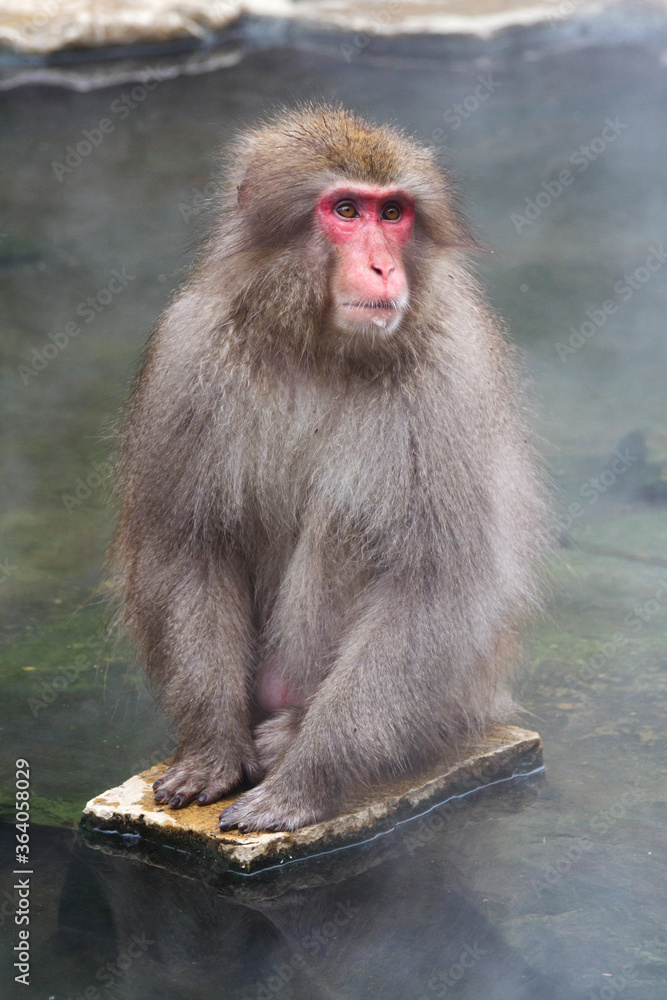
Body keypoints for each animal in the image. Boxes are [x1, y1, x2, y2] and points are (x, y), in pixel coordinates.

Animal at [109, 104, 547, 833]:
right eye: (345, 209)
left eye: (392, 212)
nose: (382, 266)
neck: (319, 344)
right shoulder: (189, 347)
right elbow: (190, 544)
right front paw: (212, 752)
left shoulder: (448, 374)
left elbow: (433, 584)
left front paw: (306, 780)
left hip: (458, 701)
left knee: (352, 516)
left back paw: (292, 728)